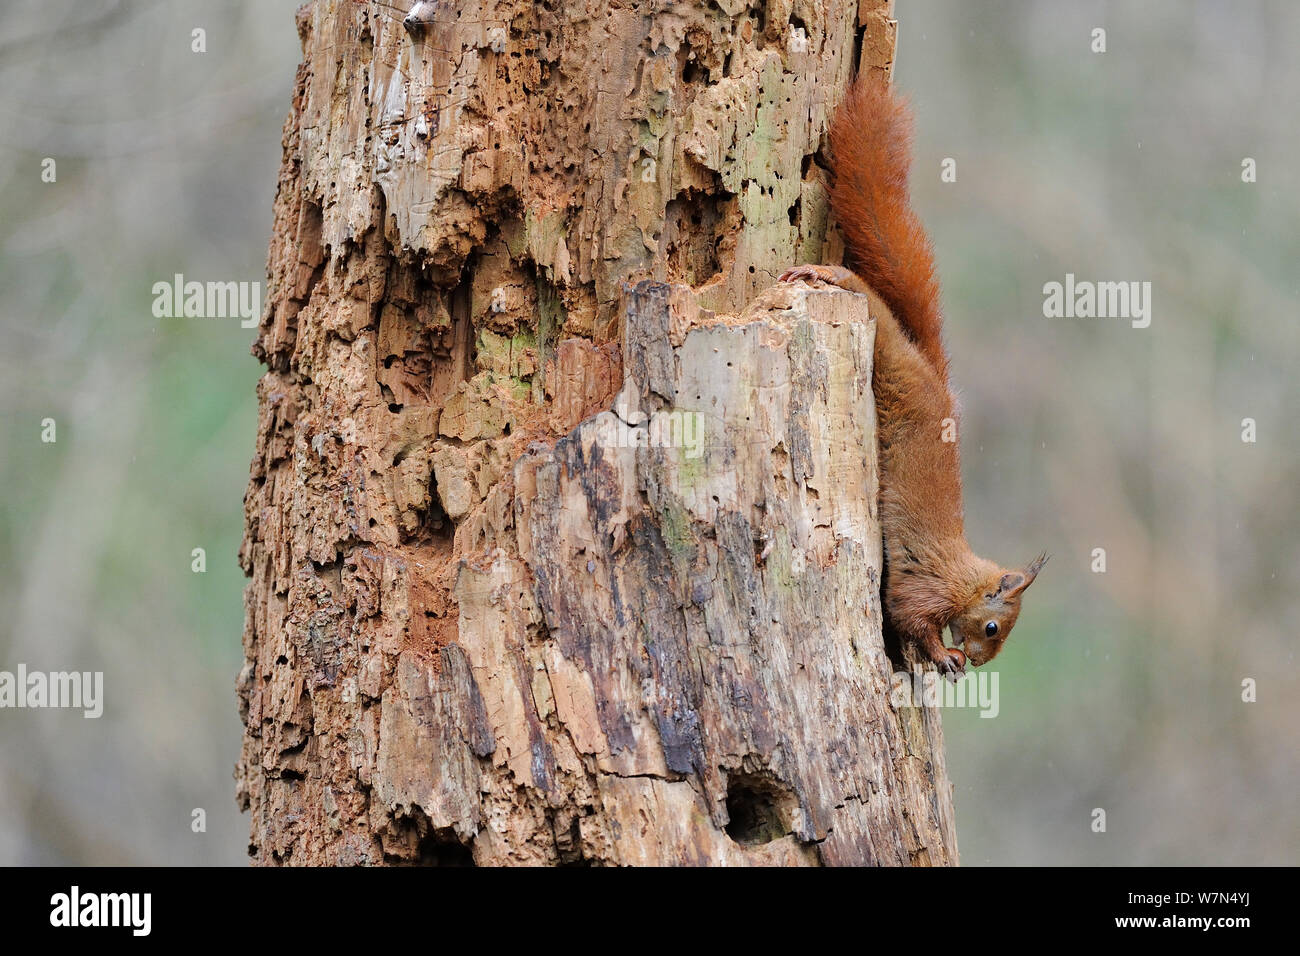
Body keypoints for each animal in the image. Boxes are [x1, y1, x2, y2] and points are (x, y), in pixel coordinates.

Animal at [780, 78, 1046, 680]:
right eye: (992, 627)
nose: (978, 662)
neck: (964, 576)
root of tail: (935, 379)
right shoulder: (924, 587)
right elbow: (910, 620)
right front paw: (943, 655)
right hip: (887, 349)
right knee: (867, 298)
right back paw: (826, 272)